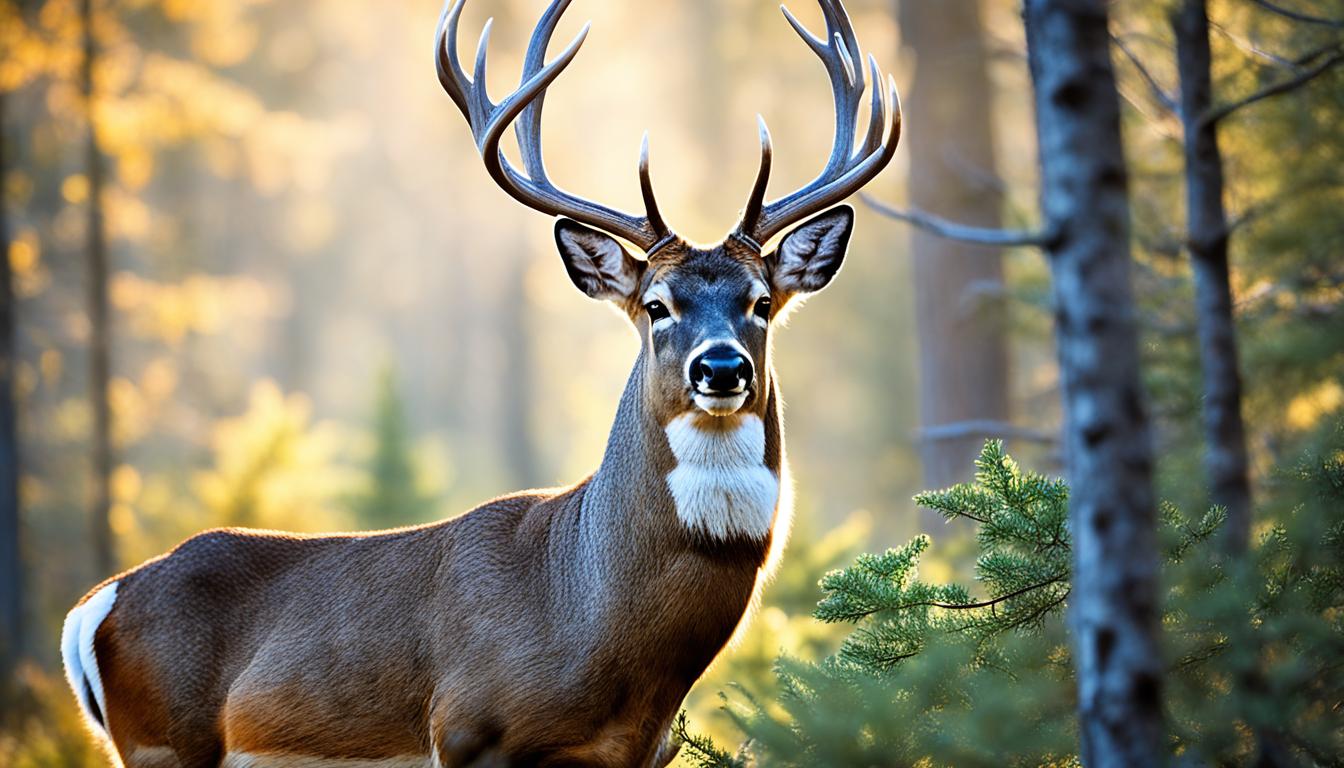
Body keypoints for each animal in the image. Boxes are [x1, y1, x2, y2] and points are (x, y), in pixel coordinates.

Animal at [60, 1, 900, 765]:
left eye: (760, 302)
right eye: (657, 305)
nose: (721, 367)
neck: (590, 618)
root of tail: (93, 607)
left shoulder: (642, 753)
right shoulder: (468, 728)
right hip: (164, 742)